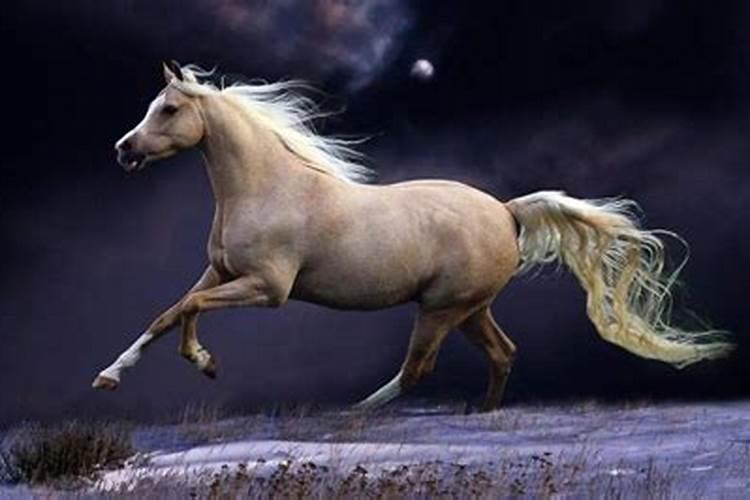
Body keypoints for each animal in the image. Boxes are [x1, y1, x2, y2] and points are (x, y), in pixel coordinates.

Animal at [92, 61, 733, 411]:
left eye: (169, 109)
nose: (123, 150)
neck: (267, 188)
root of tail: (507, 211)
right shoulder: (221, 272)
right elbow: (169, 311)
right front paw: (110, 376)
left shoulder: (266, 288)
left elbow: (188, 310)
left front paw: (204, 363)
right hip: (471, 309)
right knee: (503, 353)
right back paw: (482, 414)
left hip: (441, 309)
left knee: (418, 369)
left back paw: (352, 413)